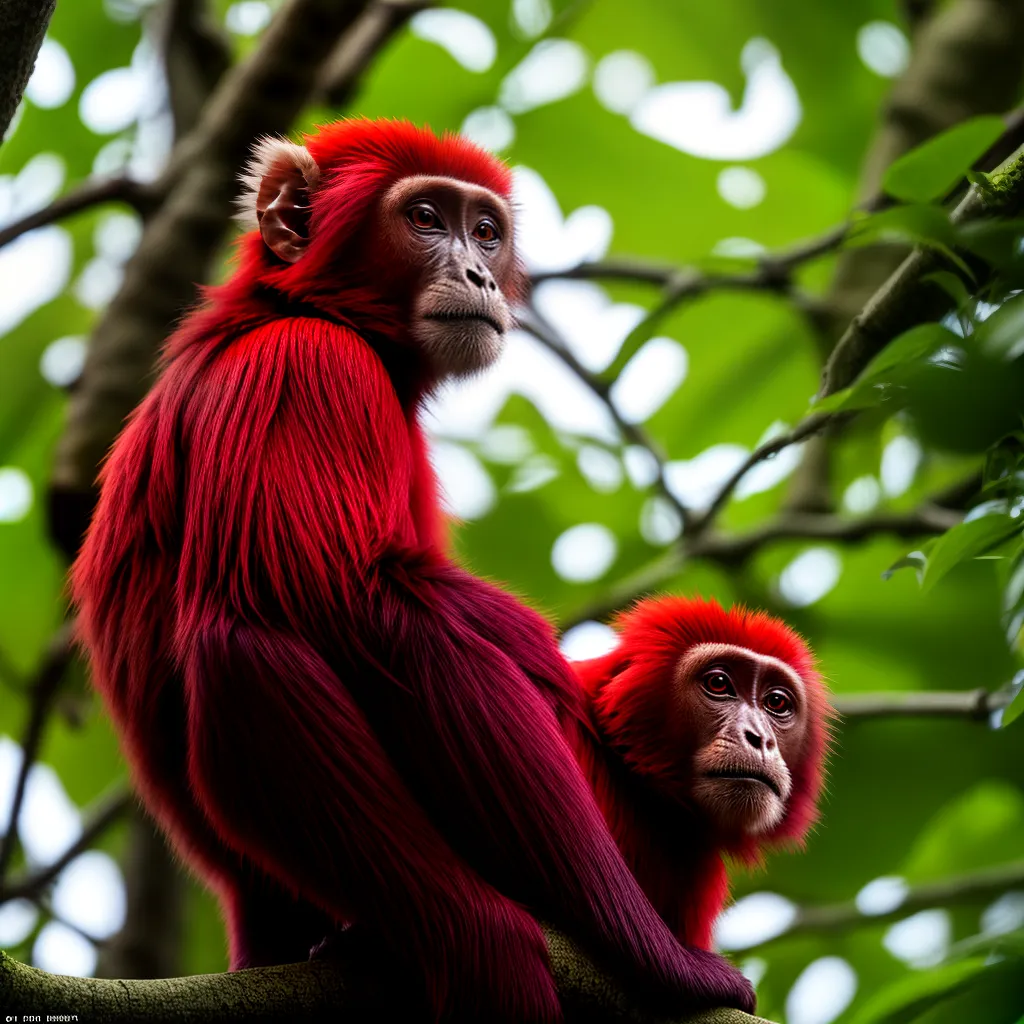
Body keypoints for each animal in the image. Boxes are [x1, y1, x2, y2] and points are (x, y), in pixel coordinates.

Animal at [71, 119, 755, 1022]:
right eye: (427, 217)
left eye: (486, 232)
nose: (477, 272)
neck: (285, 312)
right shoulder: (310, 367)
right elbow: (329, 616)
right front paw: (515, 936)